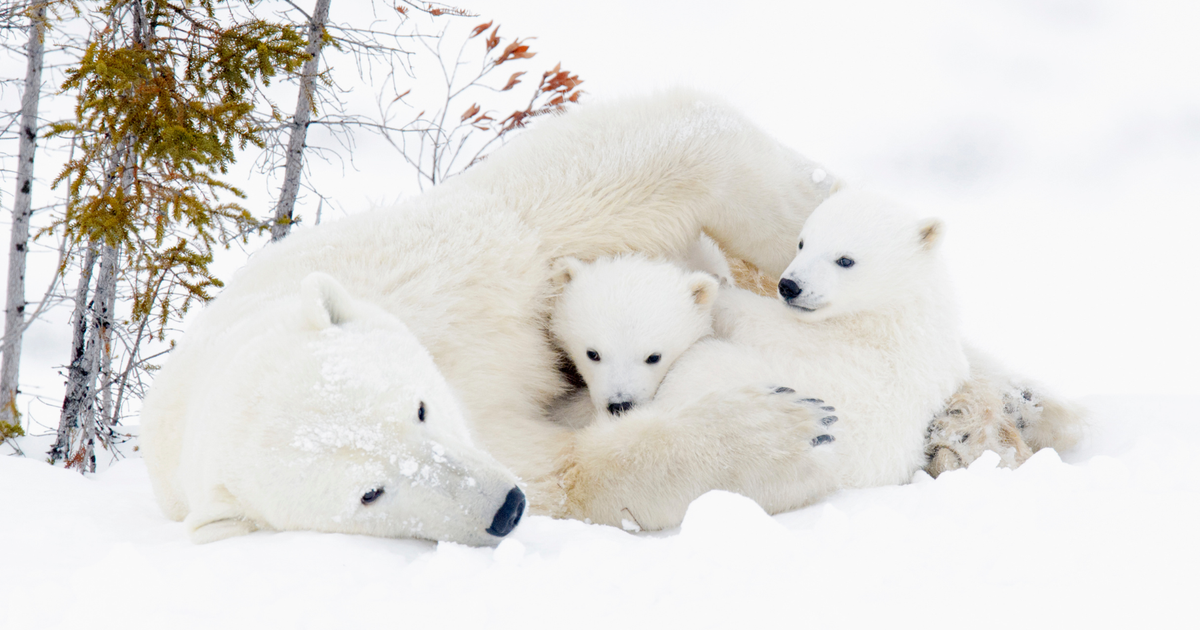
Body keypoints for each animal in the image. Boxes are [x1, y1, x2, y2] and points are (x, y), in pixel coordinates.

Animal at [140, 89, 847, 544]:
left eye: (419, 408)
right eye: (370, 491)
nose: (505, 508)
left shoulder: (454, 267)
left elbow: (629, 168)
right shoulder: (496, 444)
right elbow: (572, 473)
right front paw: (785, 432)